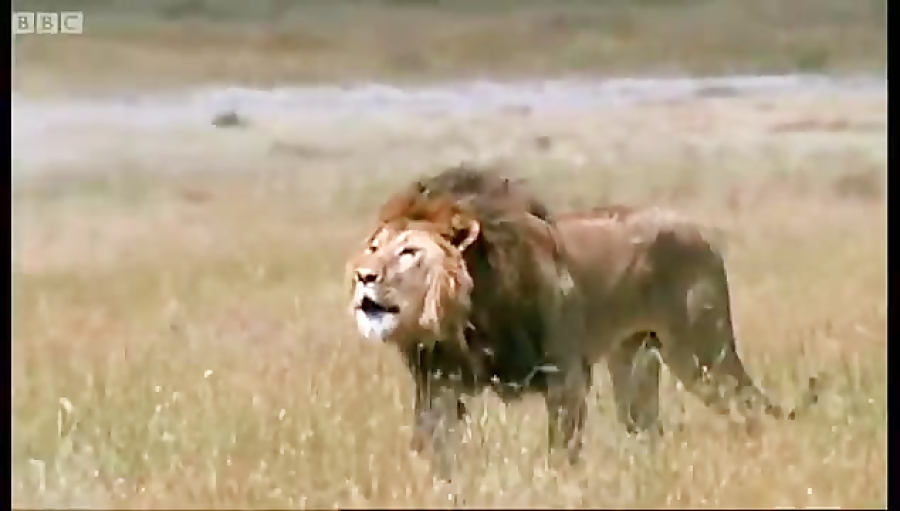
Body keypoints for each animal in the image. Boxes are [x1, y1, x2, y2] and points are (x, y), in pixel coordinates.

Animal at [347, 167, 819, 478]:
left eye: (409, 252)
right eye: (374, 247)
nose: (363, 275)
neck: (467, 314)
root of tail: (701, 233)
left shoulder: (566, 376)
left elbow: (562, 450)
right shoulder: (438, 383)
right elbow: (433, 449)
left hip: (701, 353)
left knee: (746, 406)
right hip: (635, 360)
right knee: (649, 428)